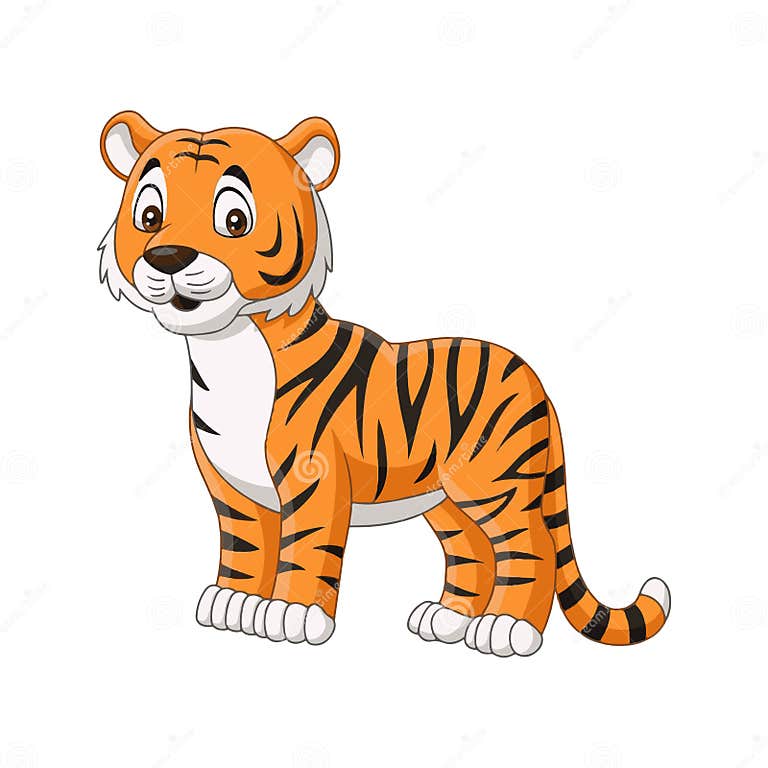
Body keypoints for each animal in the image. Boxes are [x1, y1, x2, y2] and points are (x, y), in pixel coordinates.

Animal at [98, 110, 671, 656]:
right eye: (149, 215)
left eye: (234, 219)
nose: (168, 257)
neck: (228, 349)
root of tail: (537, 380)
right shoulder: (231, 488)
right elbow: (245, 548)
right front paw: (232, 604)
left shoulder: (314, 478)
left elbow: (304, 550)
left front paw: (290, 616)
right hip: (446, 501)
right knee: (472, 552)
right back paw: (447, 620)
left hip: (496, 484)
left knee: (532, 548)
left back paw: (506, 628)